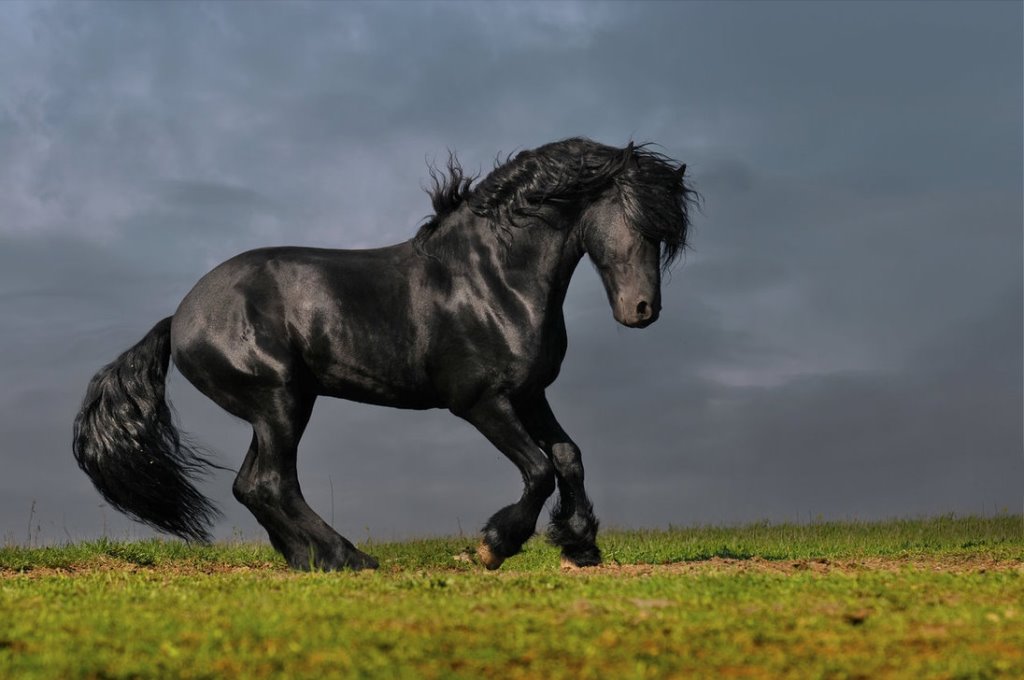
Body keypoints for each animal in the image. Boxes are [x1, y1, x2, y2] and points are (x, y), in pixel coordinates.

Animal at [72, 137, 697, 571]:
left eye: (667, 235)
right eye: (638, 222)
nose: (643, 310)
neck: (493, 279)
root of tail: (180, 318)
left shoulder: (529, 394)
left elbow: (569, 457)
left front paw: (580, 545)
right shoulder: (480, 402)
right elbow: (540, 469)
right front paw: (491, 547)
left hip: (272, 410)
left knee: (252, 485)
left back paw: (307, 560)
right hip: (280, 402)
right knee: (270, 483)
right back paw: (347, 558)